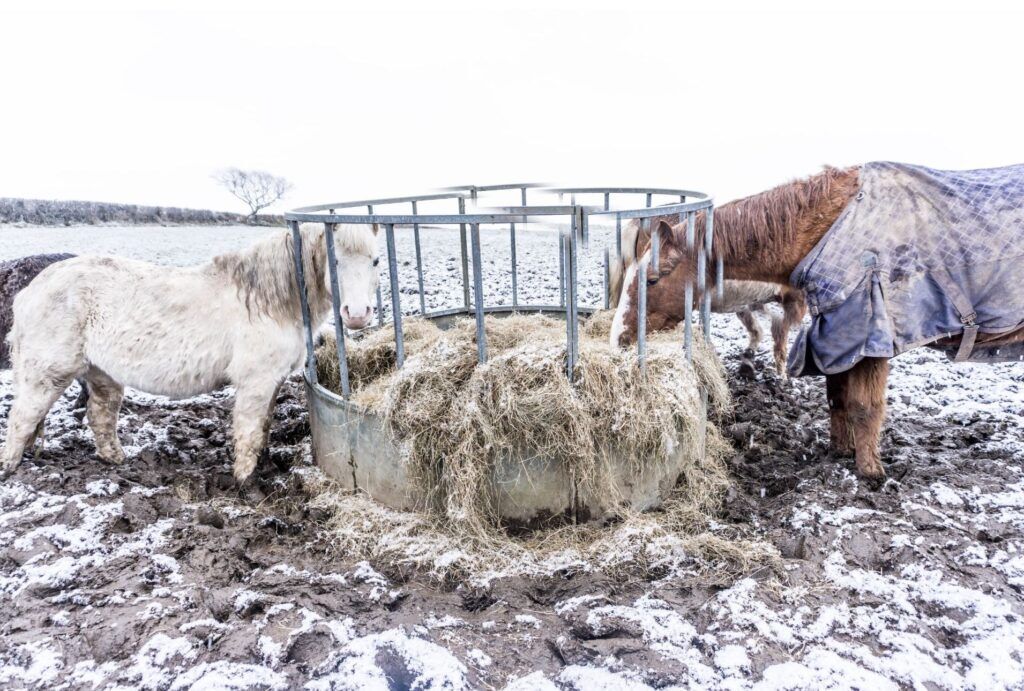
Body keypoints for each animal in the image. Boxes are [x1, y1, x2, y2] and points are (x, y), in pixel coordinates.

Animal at [1, 223, 379, 483]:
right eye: (334, 261)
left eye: (376, 261)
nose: (358, 315)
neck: (270, 302)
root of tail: (30, 290)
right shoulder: (255, 382)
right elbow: (248, 432)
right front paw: (245, 481)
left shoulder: (272, 382)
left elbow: (264, 427)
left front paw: (265, 466)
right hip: (46, 374)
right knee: (22, 419)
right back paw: (10, 467)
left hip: (101, 373)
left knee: (100, 417)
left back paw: (118, 461)